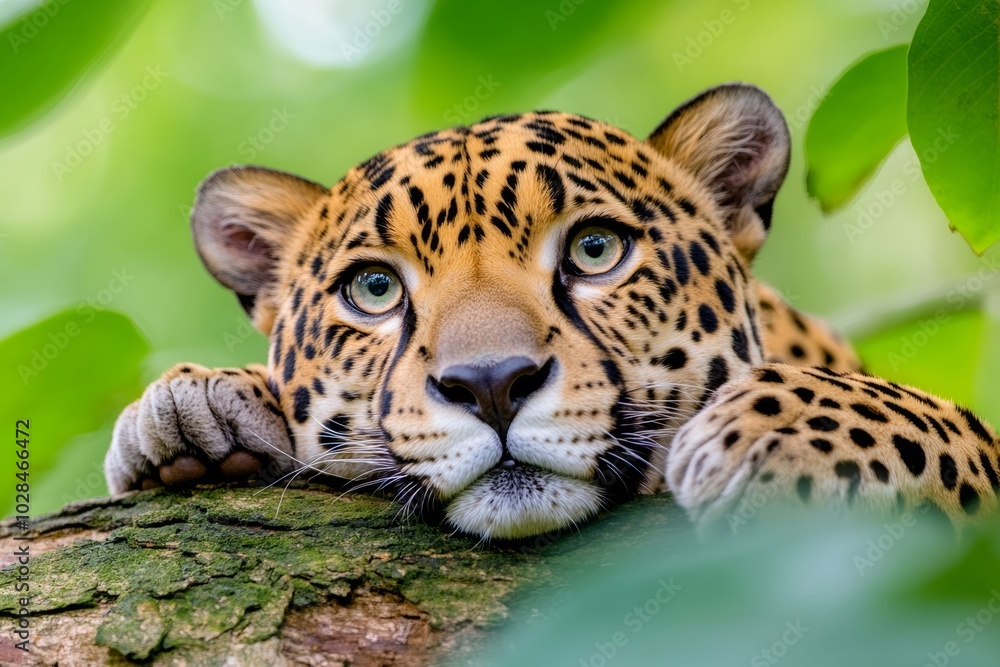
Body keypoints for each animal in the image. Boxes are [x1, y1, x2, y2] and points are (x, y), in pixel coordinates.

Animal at [104, 83, 999, 539]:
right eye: (376, 290)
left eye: (596, 249)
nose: (492, 384)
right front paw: (193, 410)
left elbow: (942, 422)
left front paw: (777, 429)